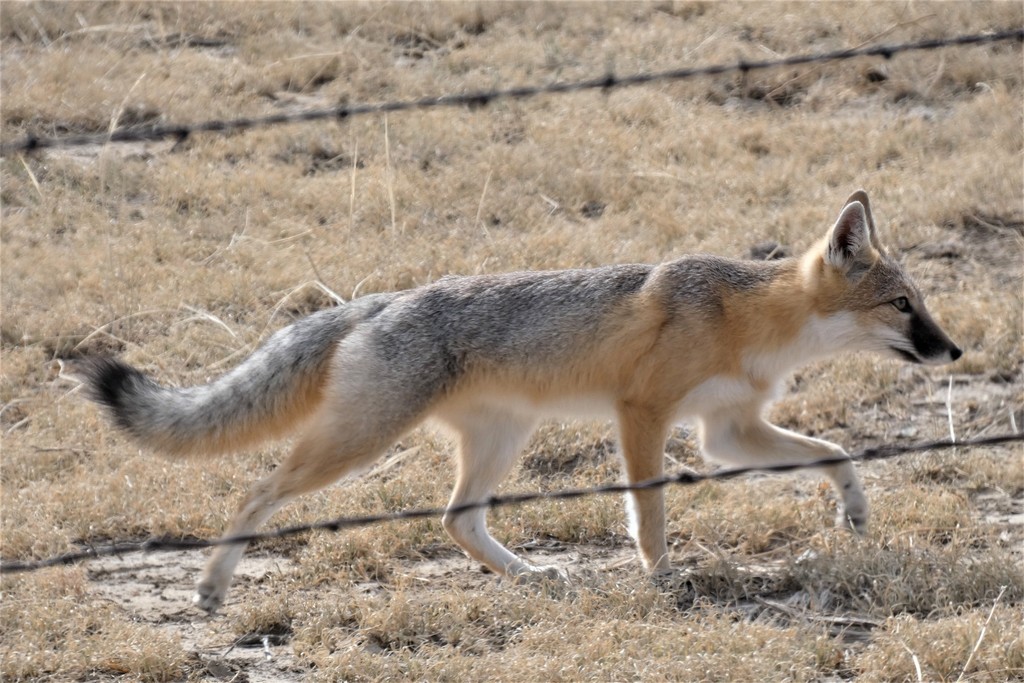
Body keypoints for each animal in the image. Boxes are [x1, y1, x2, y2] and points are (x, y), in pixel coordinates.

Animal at [73, 190, 961, 613]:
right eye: (903, 306)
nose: (953, 351)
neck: (751, 318)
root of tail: (376, 301)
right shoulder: (644, 413)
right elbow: (650, 509)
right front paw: (662, 573)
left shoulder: (726, 430)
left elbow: (836, 452)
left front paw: (854, 510)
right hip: (358, 444)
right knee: (257, 489)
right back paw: (211, 585)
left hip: (499, 441)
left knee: (456, 519)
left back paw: (532, 574)